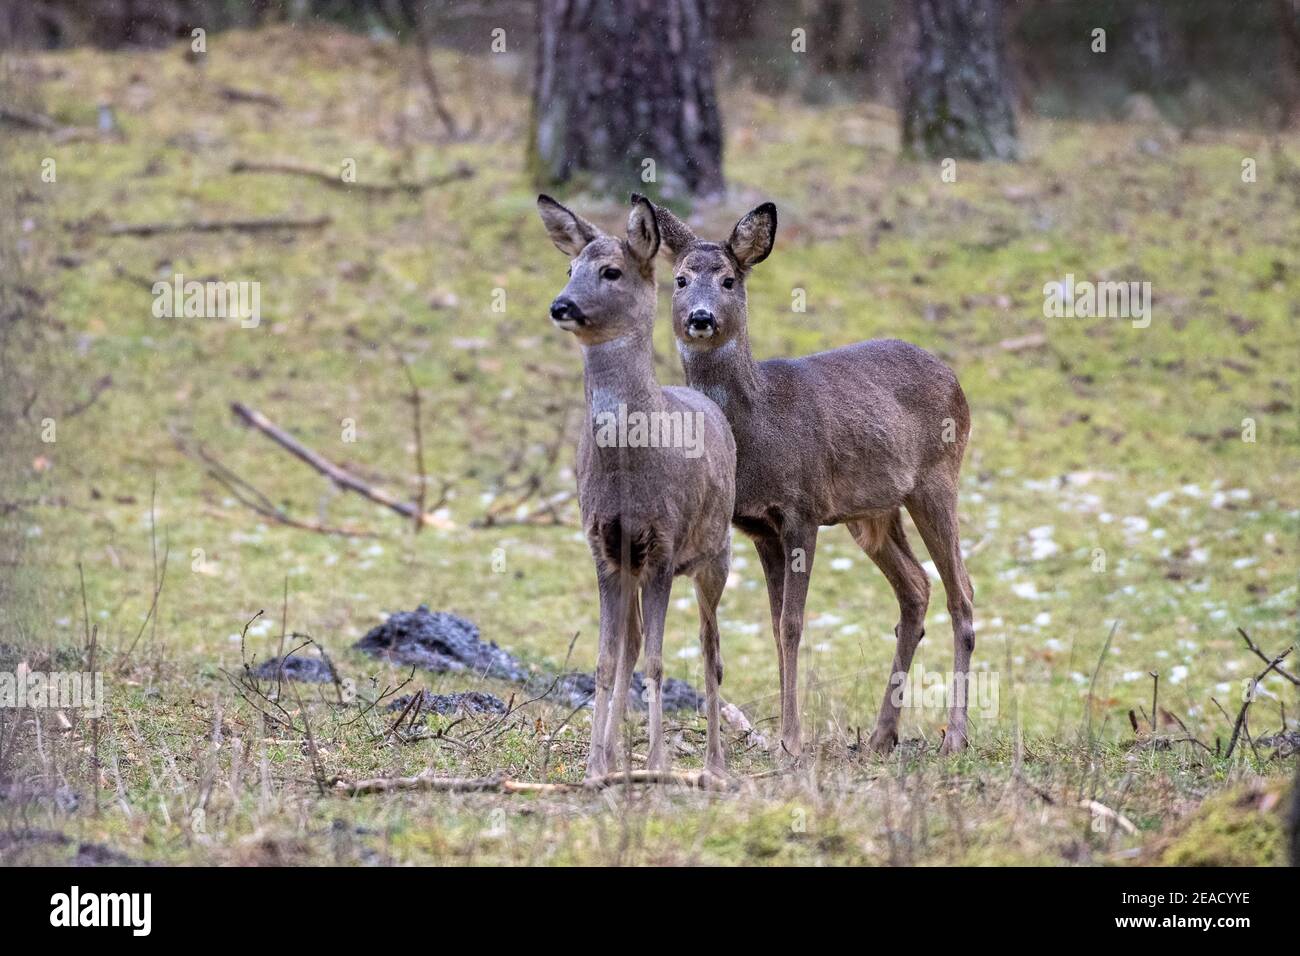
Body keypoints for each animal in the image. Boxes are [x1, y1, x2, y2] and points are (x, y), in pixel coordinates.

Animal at [536, 193, 737, 781]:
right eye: (569, 268)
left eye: (611, 271)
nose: (561, 305)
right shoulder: (604, 547)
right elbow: (608, 660)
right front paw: (595, 769)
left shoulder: (664, 546)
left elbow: (657, 659)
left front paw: (658, 763)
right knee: (630, 645)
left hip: (716, 553)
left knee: (711, 650)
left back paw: (715, 765)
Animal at [640, 196, 974, 760]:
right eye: (681, 279)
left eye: (729, 279)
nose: (701, 318)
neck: (756, 430)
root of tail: (956, 380)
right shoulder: (758, 527)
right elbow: (776, 627)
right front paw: (782, 735)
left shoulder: (803, 509)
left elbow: (793, 623)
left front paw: (793, 740)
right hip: (873, 512)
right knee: (916, 588)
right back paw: (881, 736)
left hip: (937, 479)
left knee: (962, 594)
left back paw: (955, 736)